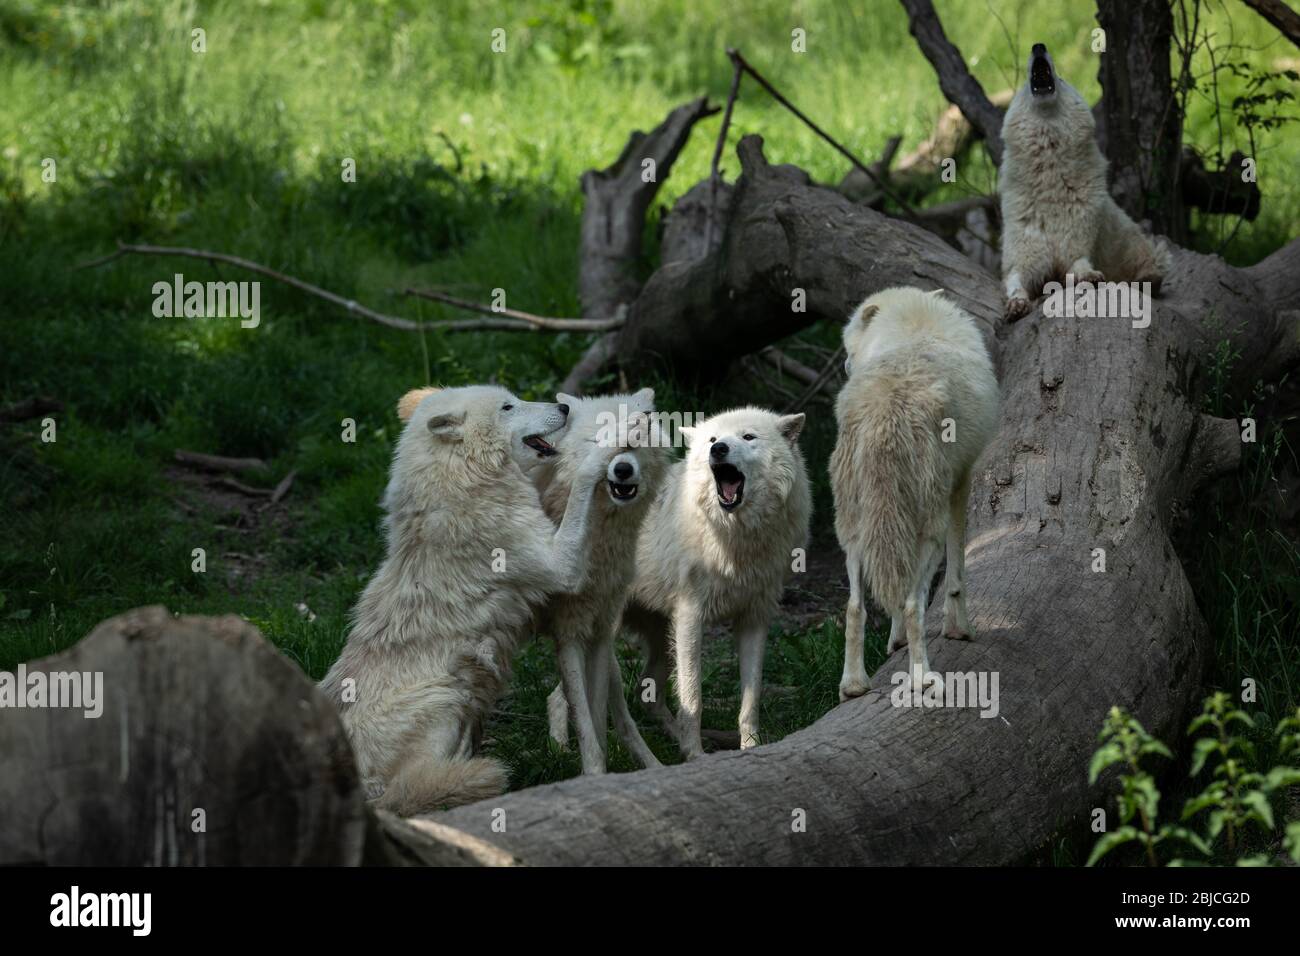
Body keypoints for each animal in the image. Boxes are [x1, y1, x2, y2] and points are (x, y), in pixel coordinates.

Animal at [318, 384, 615, 815]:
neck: (465, 484)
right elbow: (581, 487)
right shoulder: (562, 566)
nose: (562, 407)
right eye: (508, 406)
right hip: (445, 695)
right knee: (410, 791)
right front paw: (604, 450)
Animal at [535, 388, 670, 774]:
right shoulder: (569, 632)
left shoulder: (597, 632)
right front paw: (593, 775)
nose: (622, 468)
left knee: (620, 717)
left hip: (611, 646)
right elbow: (586, 726)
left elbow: (596, 722)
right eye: (598, 442)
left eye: (634, 441)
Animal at [622, 407, 812, 759]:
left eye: (748, 437)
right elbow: (692, 698)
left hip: (662, 635)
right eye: (712, 439)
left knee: (647, 694)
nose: (719, 449)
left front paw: (749, 747)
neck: (735, 537)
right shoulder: (690, 617)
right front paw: (695, 755)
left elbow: (751, 700)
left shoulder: (754, 618)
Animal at [831, 286, 999, 701]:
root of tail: (886, 410)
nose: (844, 363)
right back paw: (924, 679)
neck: (913, 321)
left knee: (855, 606)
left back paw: (853, 686)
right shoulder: (962, 482)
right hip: (927, 528)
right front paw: (960, 629)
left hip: (854, 530)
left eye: (846, 343)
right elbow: (956, 574)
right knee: (912, 603)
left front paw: (895, 642)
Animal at [1000, 42, 1170, 320]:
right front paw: (1017, 304)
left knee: (1153, 269)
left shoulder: (1077, 244)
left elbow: (1079, 263)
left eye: (1061, 79)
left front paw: (1089, 276)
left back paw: (1146, 279)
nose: (1038, 46)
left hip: (1136, 244)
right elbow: (1015, 281)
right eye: (1026, 85)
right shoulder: (1022, 255)